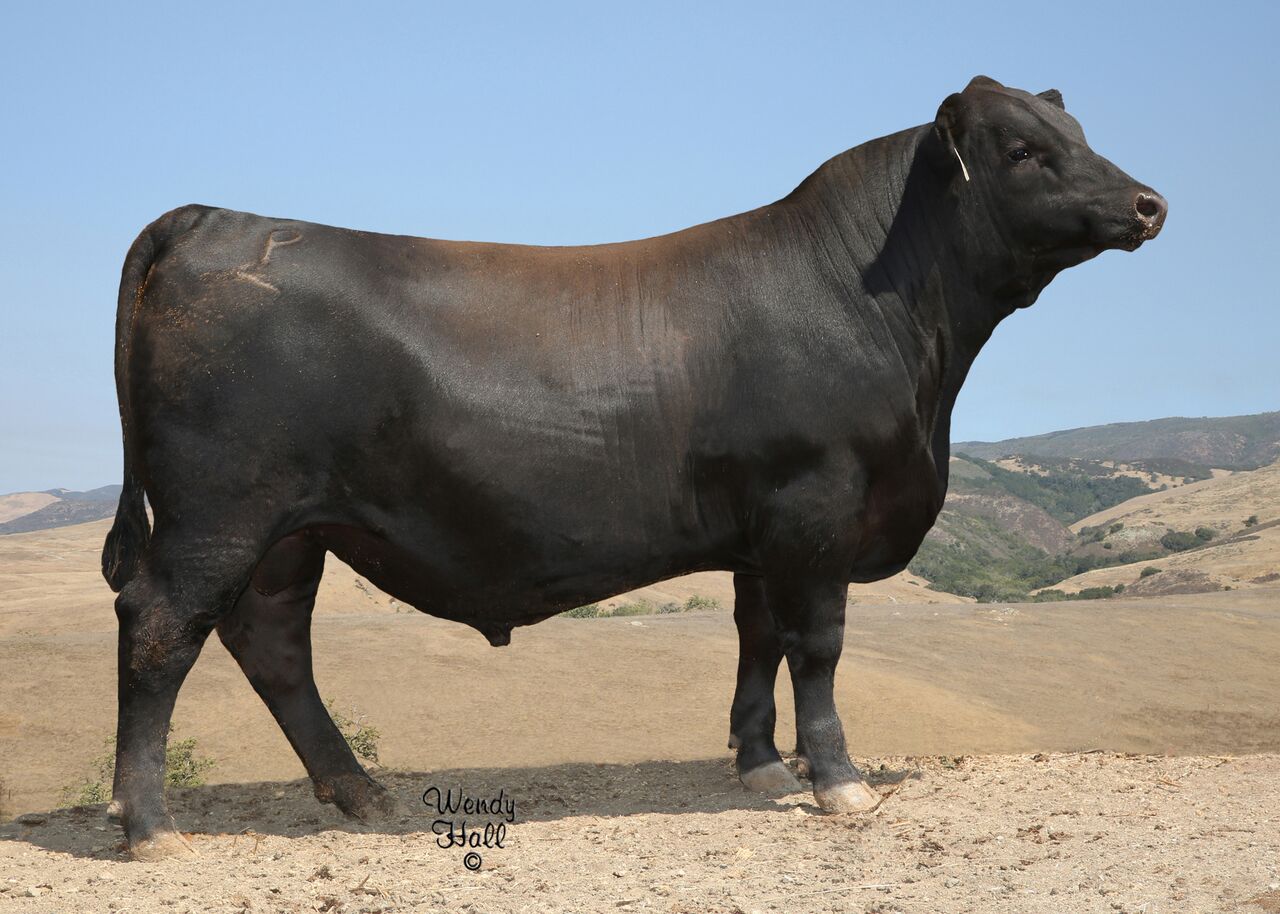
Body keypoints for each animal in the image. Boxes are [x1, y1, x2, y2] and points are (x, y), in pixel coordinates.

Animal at [101, 76, 1165, 859]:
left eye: (1078, 129)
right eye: (1023, 151)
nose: (1148, 202)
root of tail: (211, 217)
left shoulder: (759, 529)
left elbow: (755, 639)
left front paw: (759, 764)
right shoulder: (817, 506)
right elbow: (816, 646)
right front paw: (838, 783)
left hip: (294, 530)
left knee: (273, 643)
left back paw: (360, 793)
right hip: (218, 513)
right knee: (159, 628)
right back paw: (152, 826)